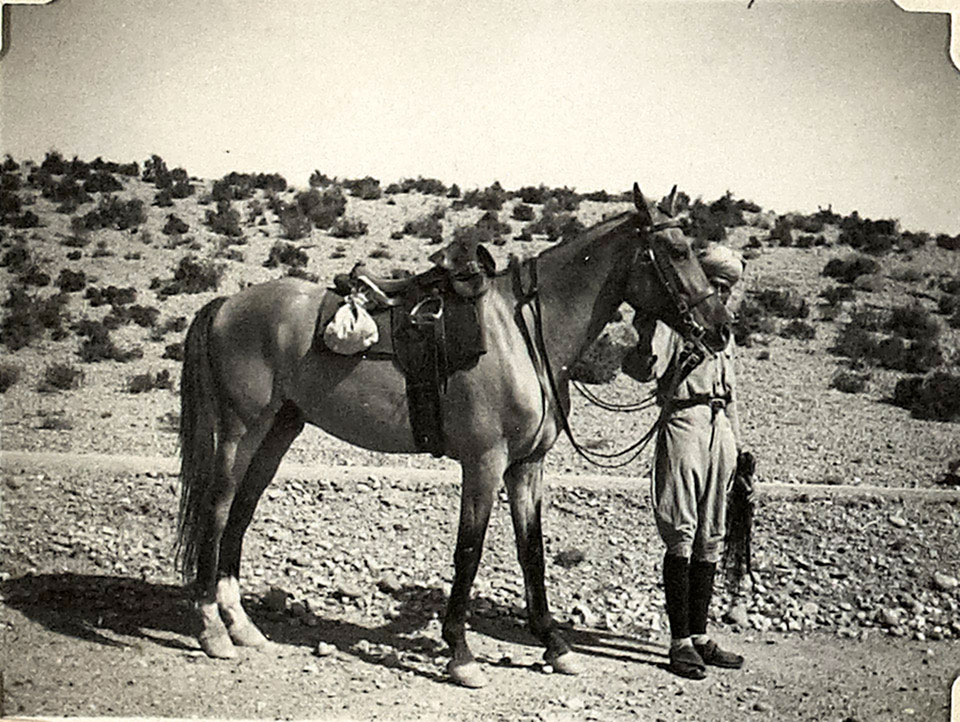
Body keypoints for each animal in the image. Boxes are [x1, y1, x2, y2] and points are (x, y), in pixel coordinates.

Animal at [175, 183, 733, 688]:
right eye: (677, 250)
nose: (720, 328)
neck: (524, 333)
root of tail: (226, 305)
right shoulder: (484, 462)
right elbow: (470, 550)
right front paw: (460, 653)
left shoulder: (526, 465)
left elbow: (532, 551)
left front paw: (554, 644)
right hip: (239, 431)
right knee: (217, 509)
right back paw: (212, 631)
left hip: (278, 431)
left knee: (241, 511)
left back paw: (242, 626)